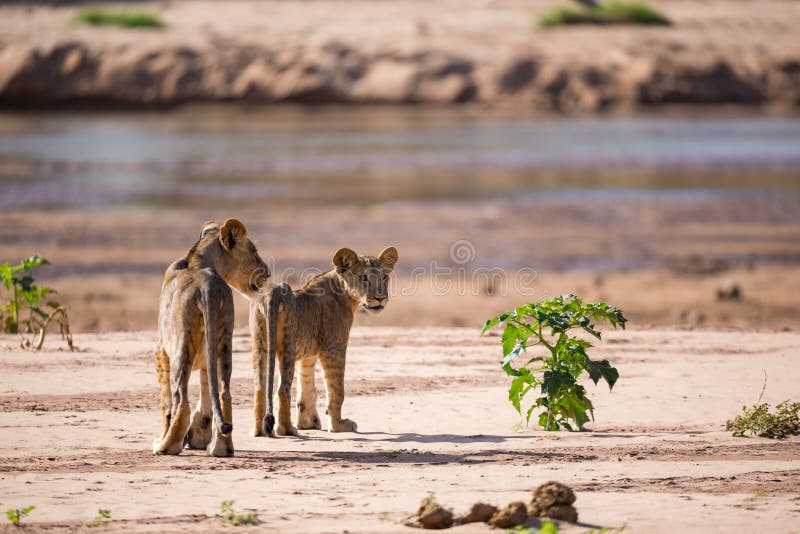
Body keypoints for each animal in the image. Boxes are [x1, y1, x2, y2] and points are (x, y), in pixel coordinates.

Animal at [153, 219, 270, 456]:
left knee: (181, 401)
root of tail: (206, 286)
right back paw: (221, 448)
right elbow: (208, 392)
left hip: (180, 345)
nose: (269, 273)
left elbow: (166, 402)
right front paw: (199, 437)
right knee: (224, 394)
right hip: (224, 340)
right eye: (254, 252)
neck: (198, 258)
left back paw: (165, 446)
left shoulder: (161, 351)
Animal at [249, 246, 398, 437]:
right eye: (363, 277)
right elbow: (336, 389)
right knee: (282, 389)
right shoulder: (333, 349)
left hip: (260, 345)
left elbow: (307, 389)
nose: (380, 298)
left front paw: (307, 423)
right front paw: (337, 425)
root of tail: (270, 295)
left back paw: (258, 431)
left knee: (259, 387)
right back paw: (287, 430)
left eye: (384, 277)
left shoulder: (308, 355)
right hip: (287, 347)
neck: (346, 294)